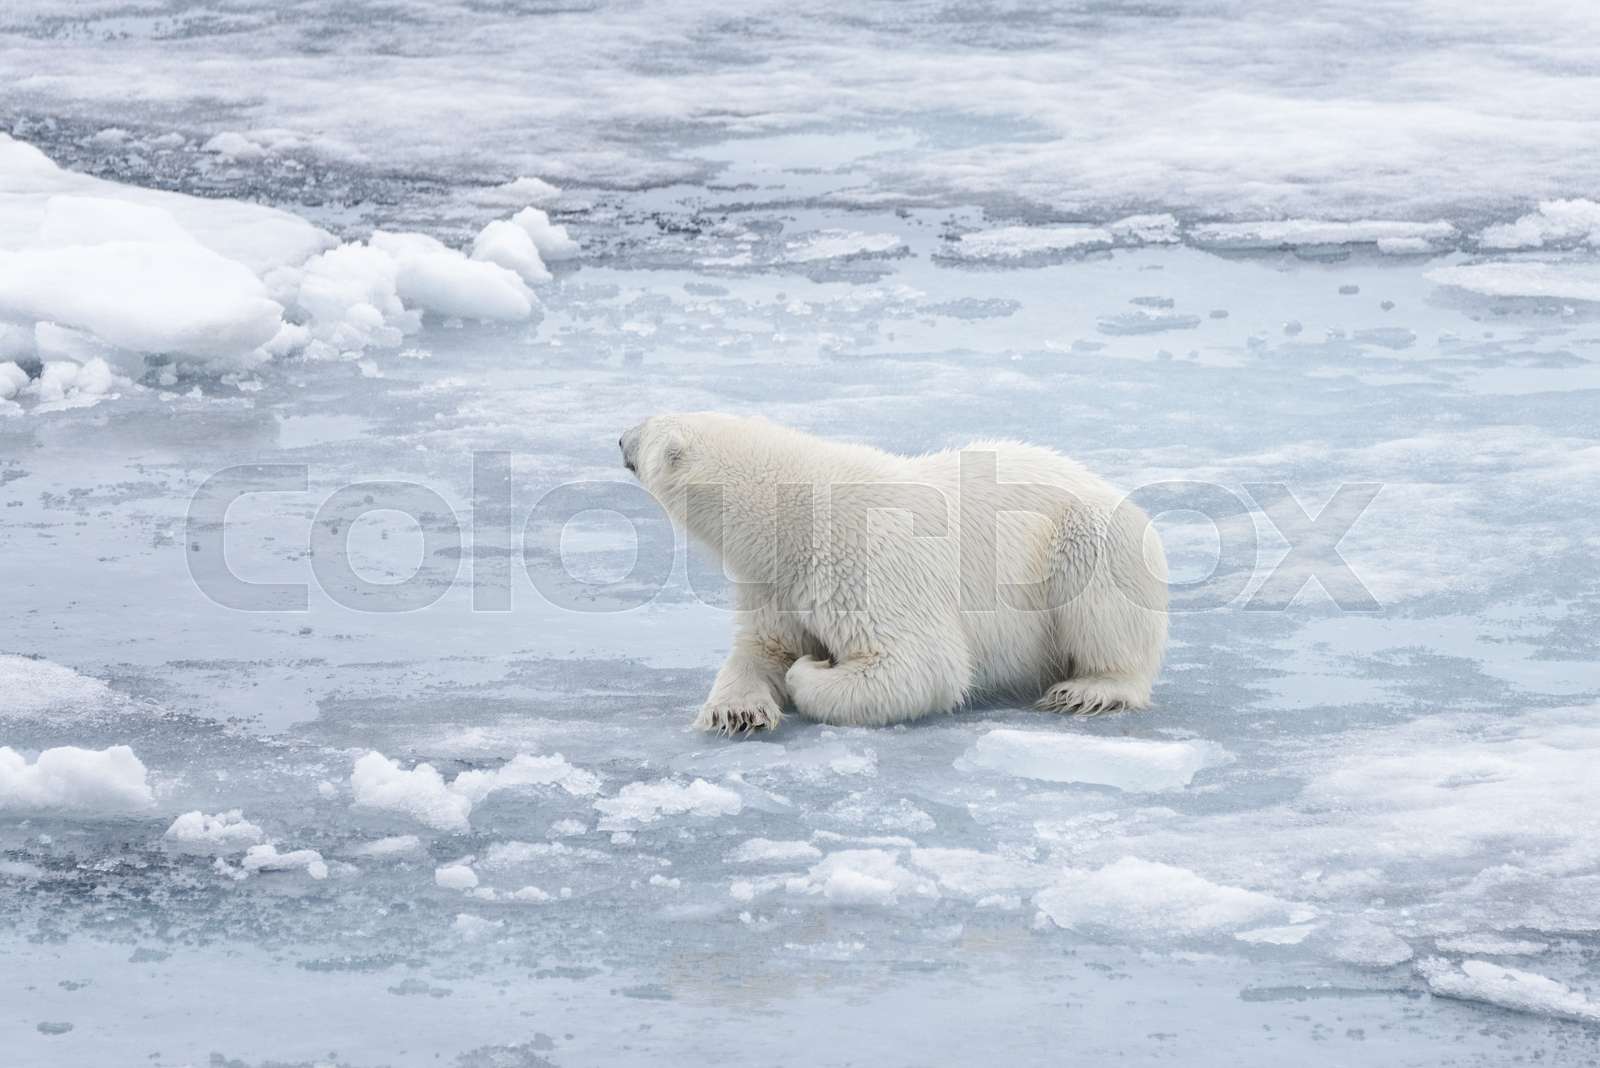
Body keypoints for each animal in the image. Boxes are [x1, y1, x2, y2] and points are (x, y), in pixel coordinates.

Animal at [620, 413, 1168, 734]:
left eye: (648, 423)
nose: (619, 436)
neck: (792, 514)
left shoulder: (866, 560)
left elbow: (919, 665)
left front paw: (811, 668)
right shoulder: (774, 581)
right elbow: (763, 648)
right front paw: (736, 710)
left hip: (1088, 536)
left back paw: (1089, 689)